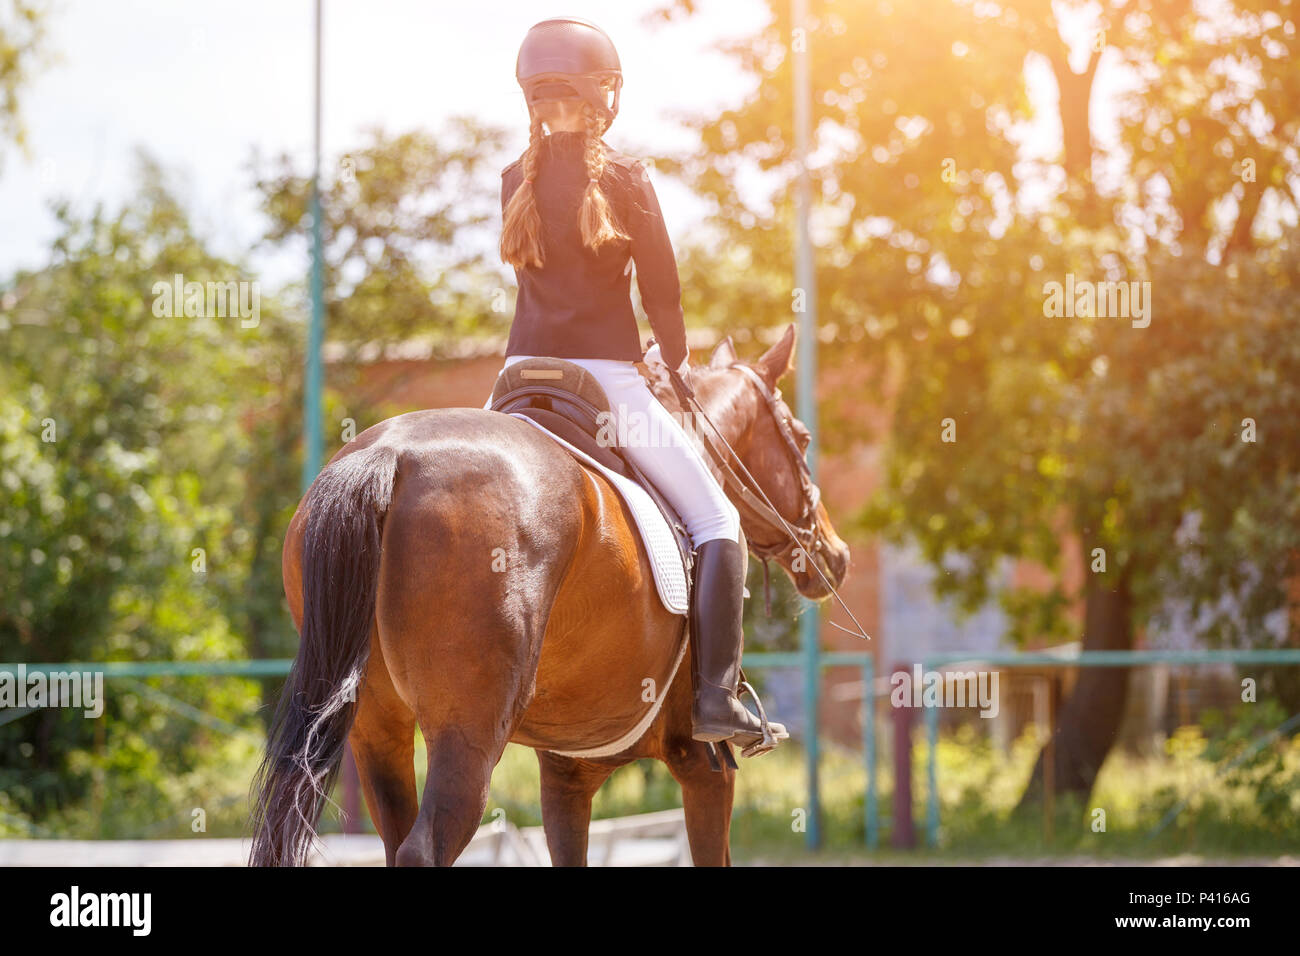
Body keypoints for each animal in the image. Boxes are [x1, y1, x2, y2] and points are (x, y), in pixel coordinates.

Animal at [249, 323, 851, 866]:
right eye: (802, 438)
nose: (836, 556)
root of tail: (390, 455)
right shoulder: (703, 762)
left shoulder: (567, 772)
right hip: (468, 734)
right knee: (427, 846)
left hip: (376, 730)